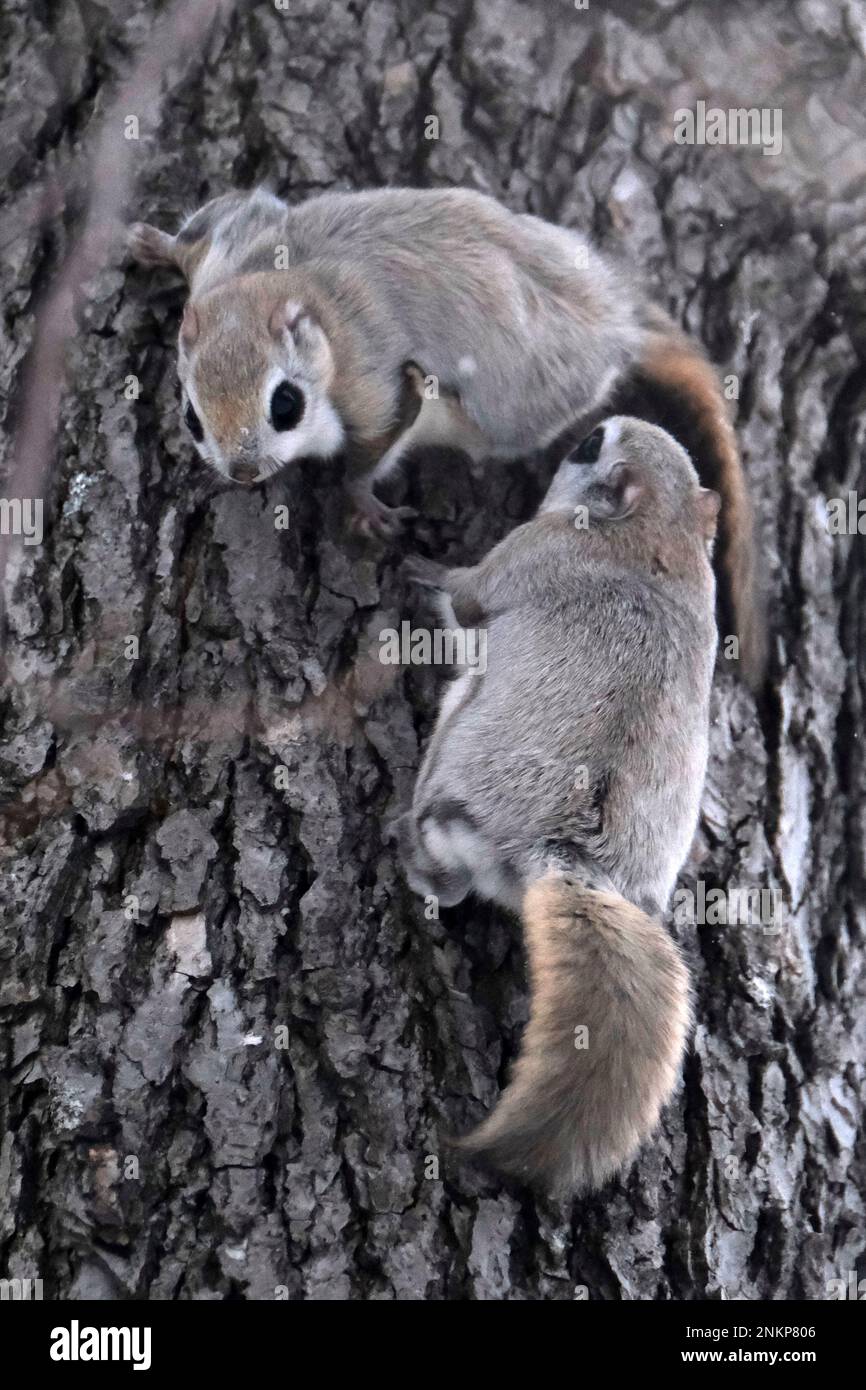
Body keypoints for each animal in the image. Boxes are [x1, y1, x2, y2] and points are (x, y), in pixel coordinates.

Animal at [128, 185, 763, 683]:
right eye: (192, 418)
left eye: (286, 403)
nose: (243, 470)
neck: (302, 290)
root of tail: (616, 328)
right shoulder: (230, 247)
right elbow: (207, 231)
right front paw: (153, 243)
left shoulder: (372, 385)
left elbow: (375, 443)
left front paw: (361, 503)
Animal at [393, 416, 718, 1194]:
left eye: (591, 444)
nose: (577, 429)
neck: (660, 540)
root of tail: (566, 855)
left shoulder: (531, 551)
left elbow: (467, 597)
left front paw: (419, 567)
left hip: (455, 740)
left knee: (447, 866)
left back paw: (414, 853)